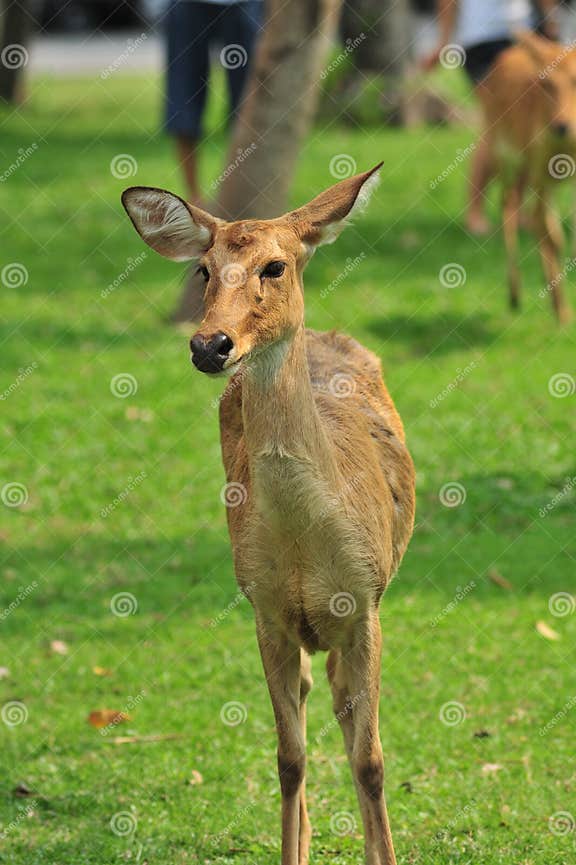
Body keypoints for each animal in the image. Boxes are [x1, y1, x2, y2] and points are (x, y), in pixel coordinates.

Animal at [121, 163, 416, 865]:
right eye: (204, 269)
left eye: (274, 266)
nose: (209, 344)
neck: (310, 545)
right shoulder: (265, 608)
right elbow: (289, 759)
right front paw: (294, 848)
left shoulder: (366, 601)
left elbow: (370, 760)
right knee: (311, 702)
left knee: (340, 706)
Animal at [477, 31, 576, 323]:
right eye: (546, 84)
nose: (560, 126)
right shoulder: (541, 175)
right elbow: (553, 236)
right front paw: (563, 313)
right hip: (503, 153)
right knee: (511, 205)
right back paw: (515, 295)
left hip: (525, 169)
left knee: (529, 216)